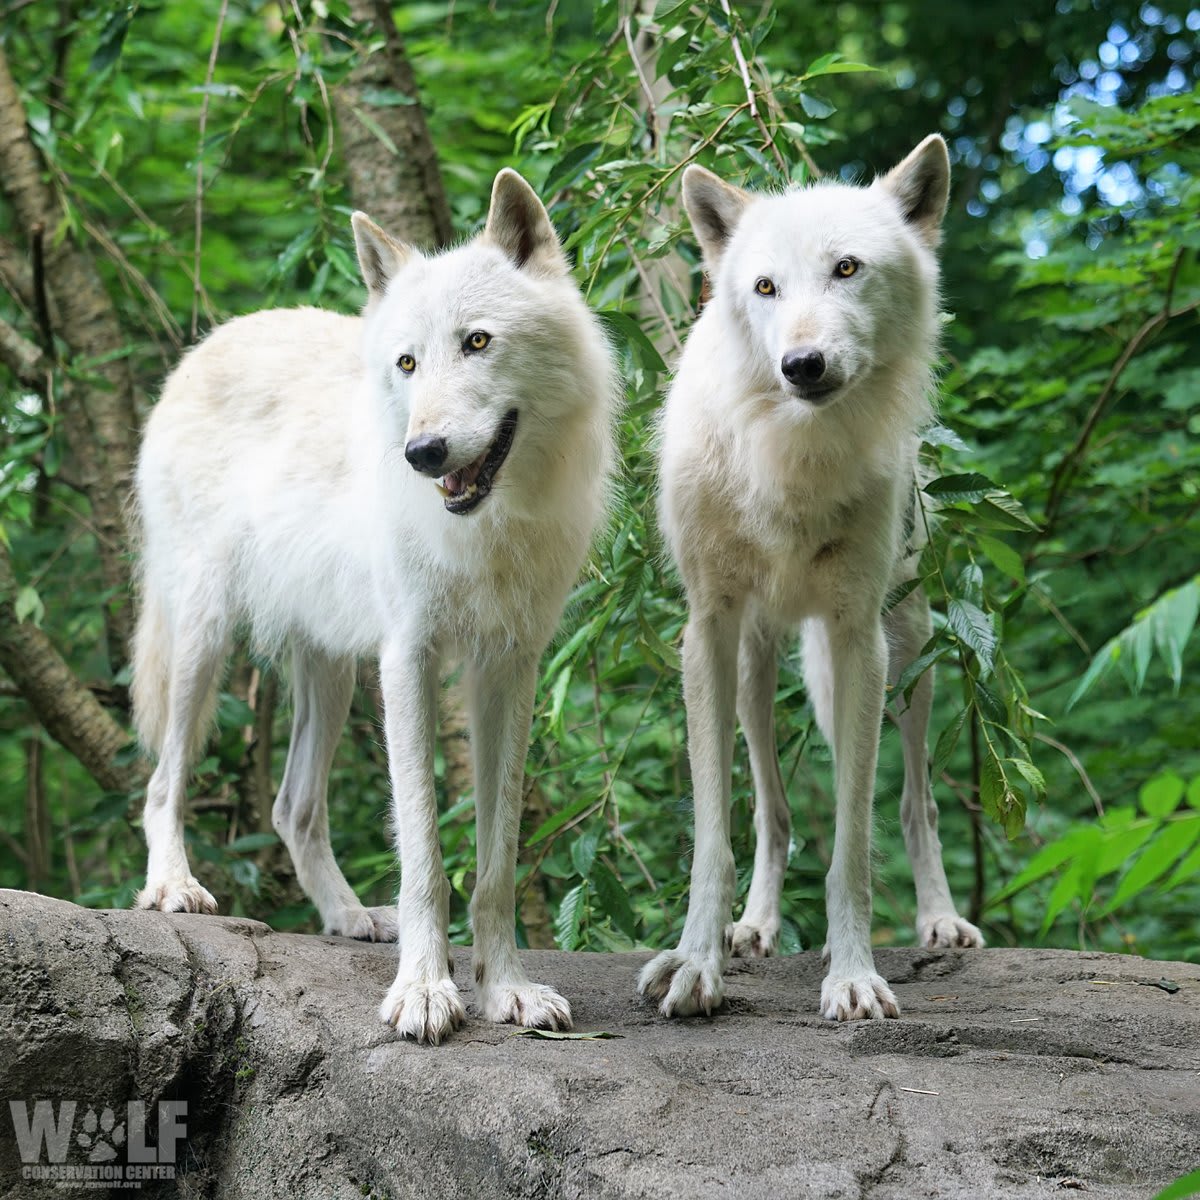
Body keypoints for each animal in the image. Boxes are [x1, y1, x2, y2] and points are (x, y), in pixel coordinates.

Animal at [131, 170, 618, 1043]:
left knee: (292, 807)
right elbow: (424, 854)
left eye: (478, 342)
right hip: (204, 641)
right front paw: (425, 991)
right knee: (163, 783)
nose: (422, 452)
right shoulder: (409, 659)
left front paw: (506, 988)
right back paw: (174, 888)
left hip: (330, 673)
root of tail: (206, 345)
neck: (490, 526)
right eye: (408, 362)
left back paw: (350, 917)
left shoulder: (509, 667)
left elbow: (496, 860)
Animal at [640, 135, 984, 1023]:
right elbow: (714, 838)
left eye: (848, 269)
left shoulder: (857, 637)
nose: (802, 364)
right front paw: (696, 963)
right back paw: (755, 926)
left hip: (901, 659)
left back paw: (940, 921)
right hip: (756, 665)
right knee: (773, 808)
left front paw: (853, 973)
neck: (792, 454)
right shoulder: (707, 631)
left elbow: (854, 844)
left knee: (917, 802)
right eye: (766, 287)